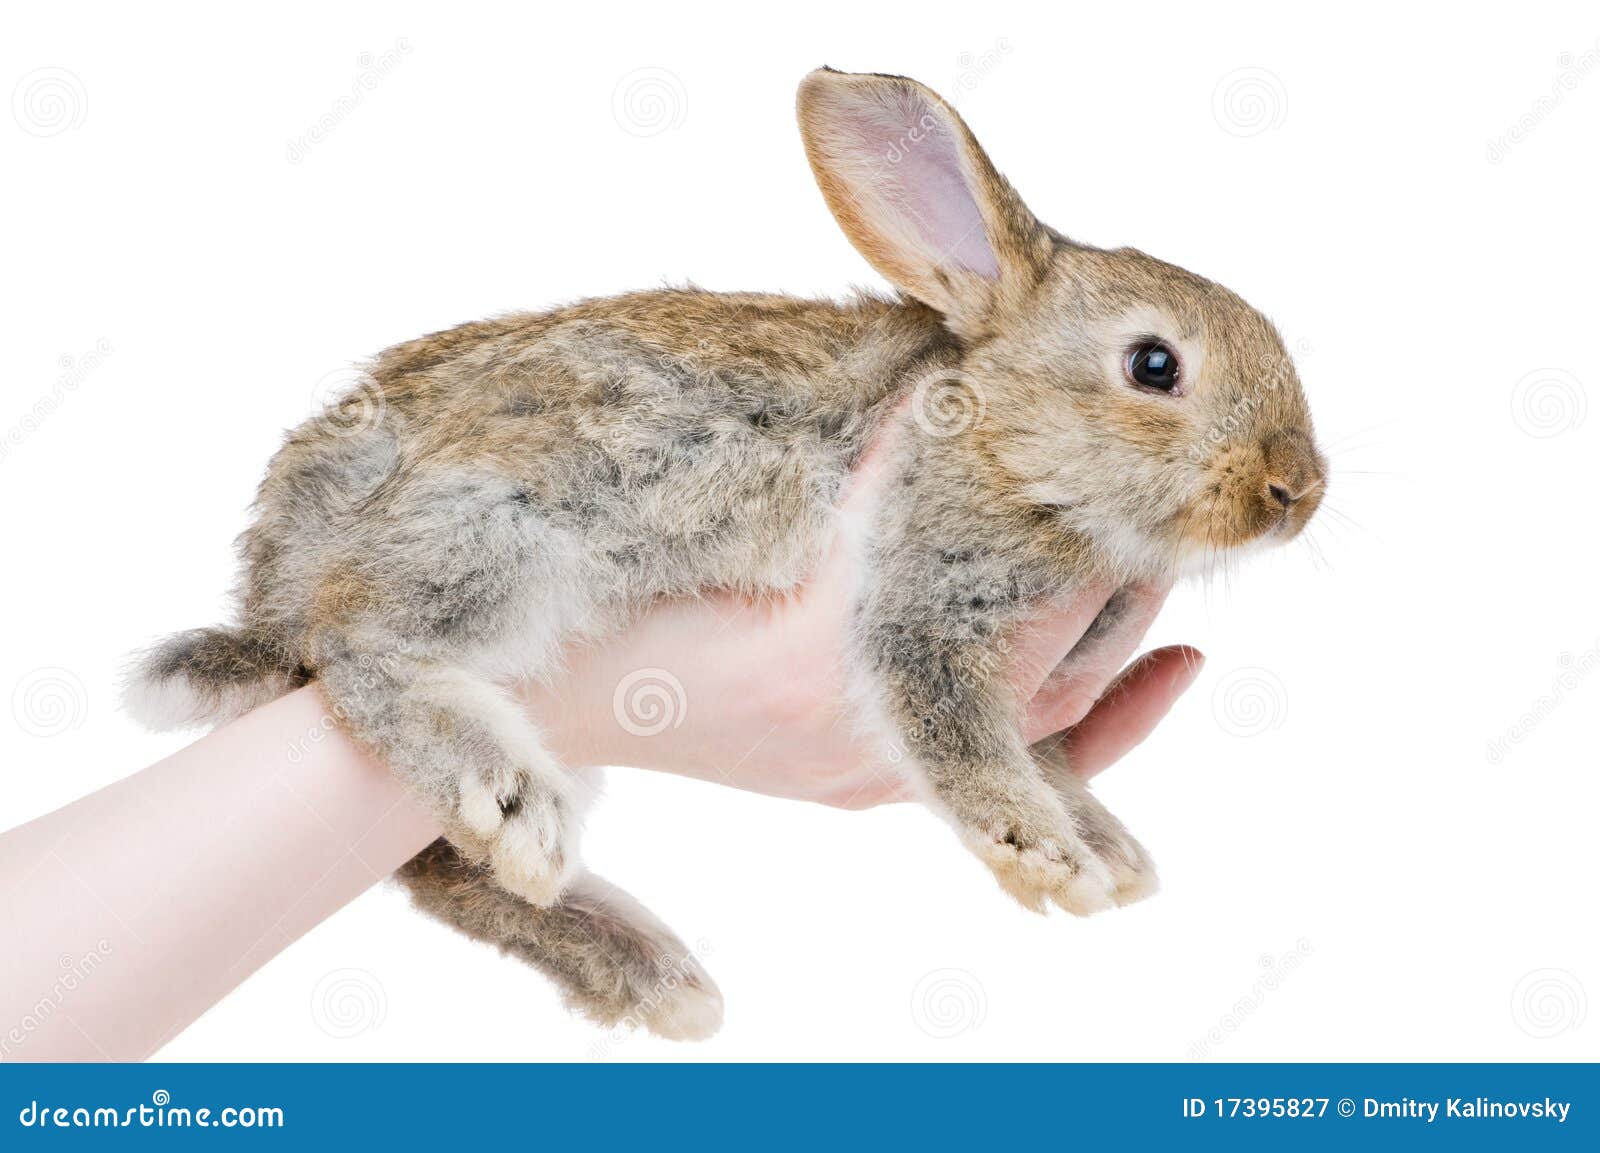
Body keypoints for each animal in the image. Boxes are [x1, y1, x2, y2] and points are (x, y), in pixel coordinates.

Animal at [123, 67, 1326, 1040]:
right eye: (1154, 365)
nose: (1298, 490)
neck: (1001, 434)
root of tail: (270, 591)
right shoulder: (922, 584)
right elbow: (955, 729)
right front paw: (1045, 854)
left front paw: (1106, 844)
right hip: (498, 529)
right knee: (364, 649)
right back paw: (517, 805)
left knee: (436, 867)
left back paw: (644, 965)